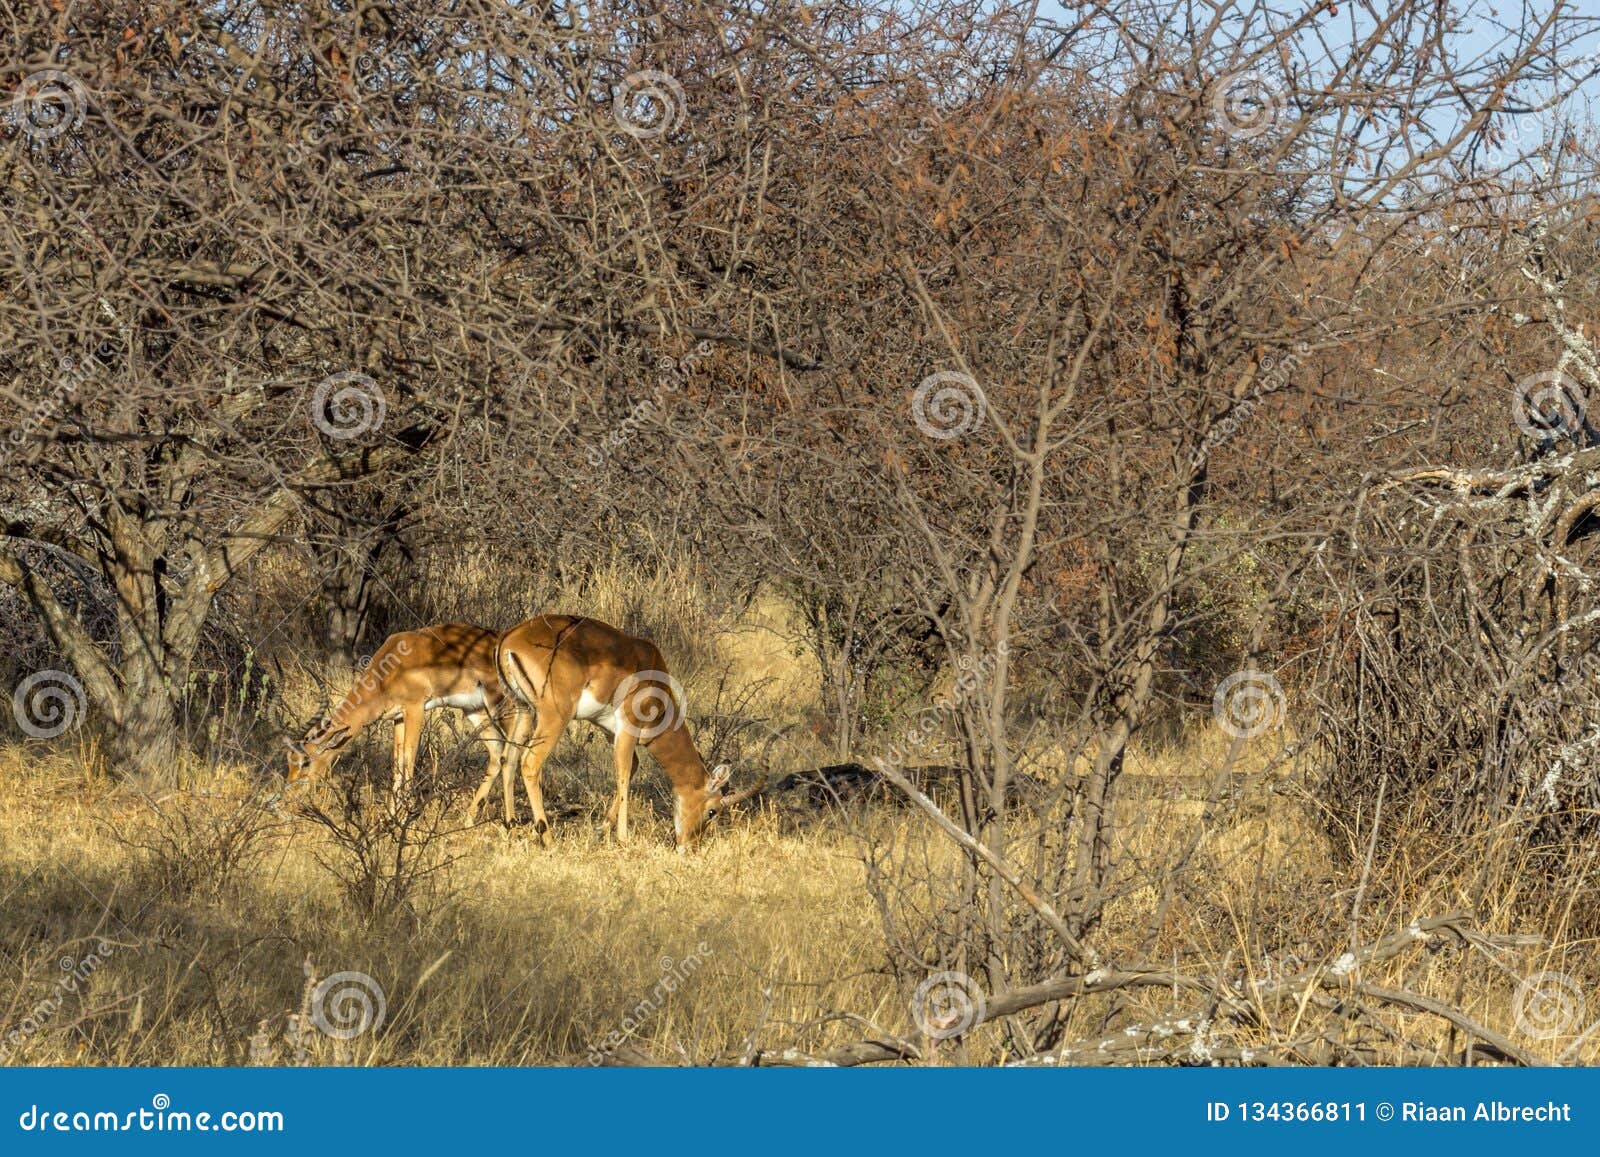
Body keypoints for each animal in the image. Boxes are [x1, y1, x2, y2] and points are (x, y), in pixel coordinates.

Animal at [286, 623, 528, 822]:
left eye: (305, 762)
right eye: (290, 761)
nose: (288, 794)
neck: (387, 673)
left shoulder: (416, 709)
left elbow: (409, 760)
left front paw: (403, 818)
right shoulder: (398, 717)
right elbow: (398, 763)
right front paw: (391, 817)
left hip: (503, 705)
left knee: (513, 753)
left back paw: (511, 823)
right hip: (475, 710)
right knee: (497, 753)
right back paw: (469, 819)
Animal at [494, 614, 759, 850]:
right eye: (712, 810)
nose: (689, 846)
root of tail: (511, 638)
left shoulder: (611, 732)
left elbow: (631, 770)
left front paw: (599, 832)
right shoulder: (627, 730)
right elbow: (623, 776)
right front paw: (623, 839)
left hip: (523, 709)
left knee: (508, 758)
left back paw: (511, 827)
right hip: (555, 716)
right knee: (529, 763)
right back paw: (548, 840)